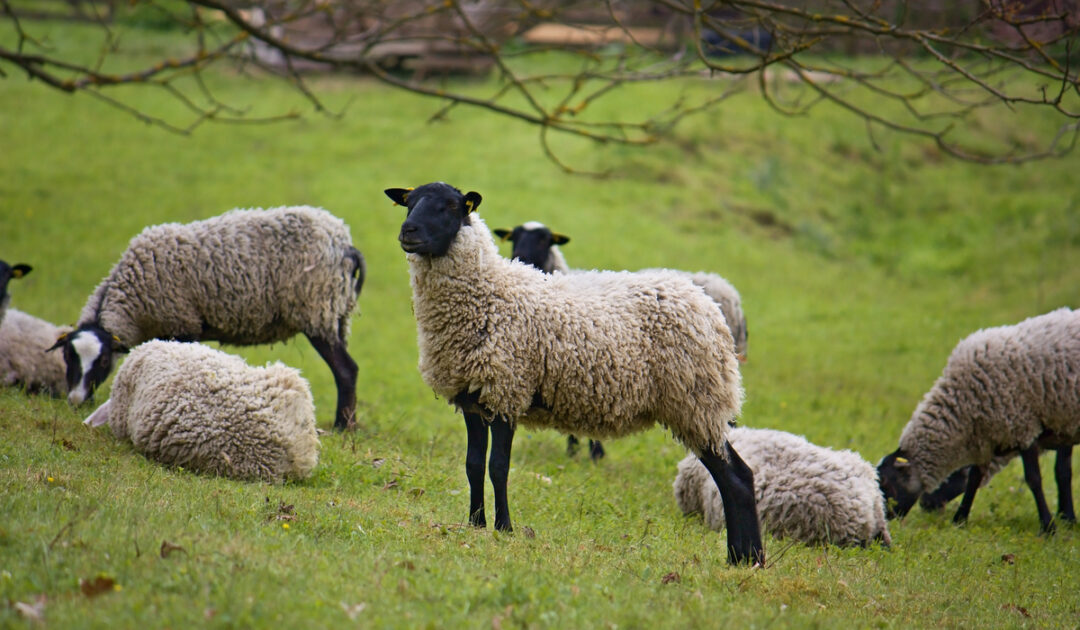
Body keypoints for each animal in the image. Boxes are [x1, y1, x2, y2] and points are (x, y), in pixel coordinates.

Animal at [48, 206, 365, 430]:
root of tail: (343, 242)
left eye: (103, 361)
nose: (75, 401)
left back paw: (343, 427)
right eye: (67, 357)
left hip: (316, 308)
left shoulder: (182, 323)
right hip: (337, 314)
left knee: (346, 370)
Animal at [492, 221, 750, 462]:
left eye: (545, 240)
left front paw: (592, 453)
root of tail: (733, 299)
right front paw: (579, 451)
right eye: (513, 237)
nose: (519, 257)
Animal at [878, 307, 1080, 533]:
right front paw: (960, 519)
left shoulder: (1024, 425)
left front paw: (1049, 525)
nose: (926, 504)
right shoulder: (987, 433)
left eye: (885, 483)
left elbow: (1036, 478)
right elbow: (975, 477)